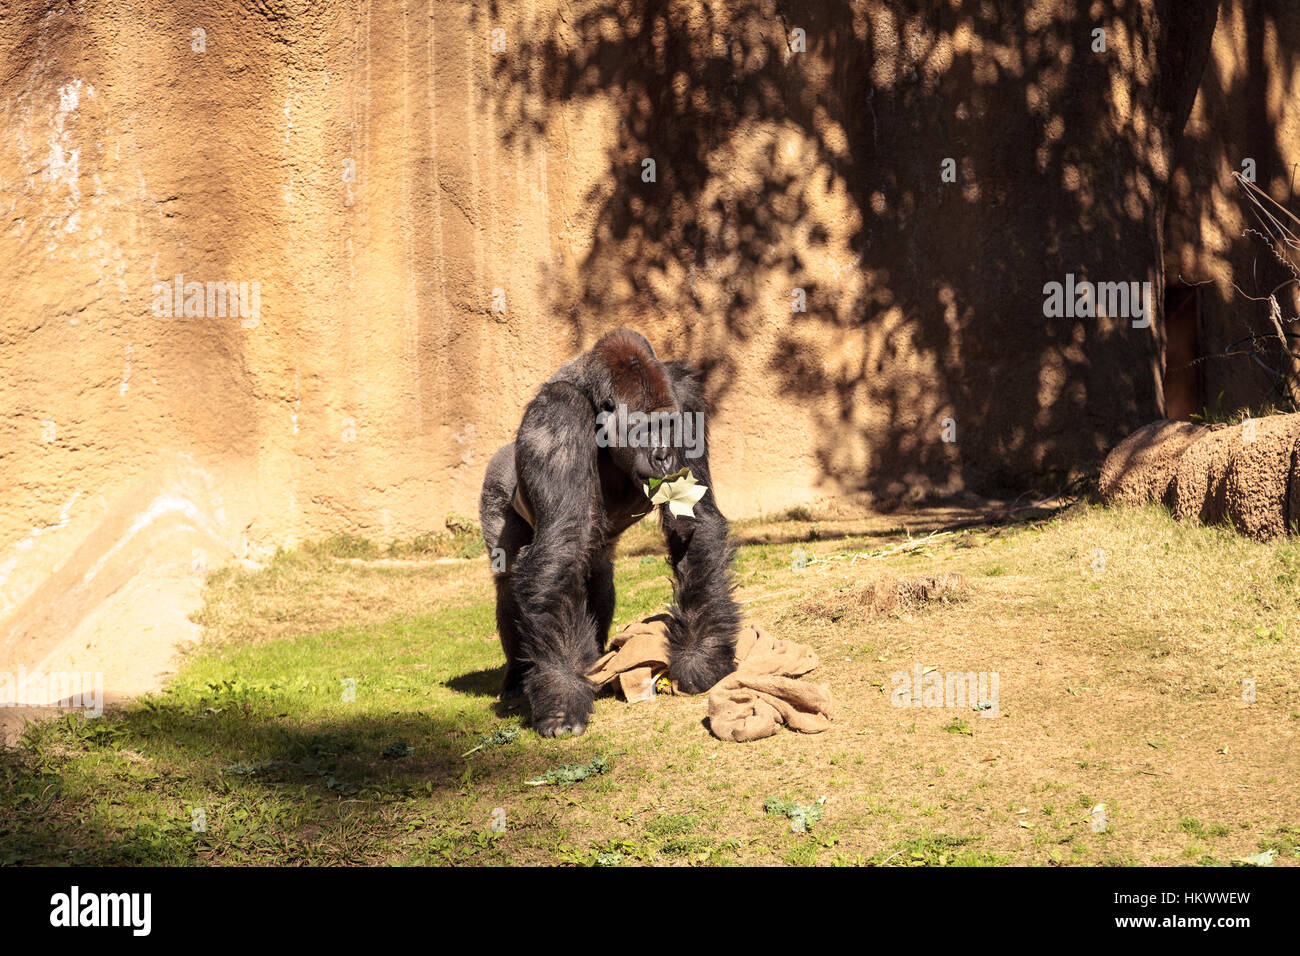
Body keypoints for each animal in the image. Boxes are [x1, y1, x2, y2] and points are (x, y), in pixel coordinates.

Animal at [479, 329, 740, 737]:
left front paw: (703, 654)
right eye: (643, 430)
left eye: (667, 426)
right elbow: (562, 543)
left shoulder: (687, 399)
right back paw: (517, 678)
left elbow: (696, 520)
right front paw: (561, 693)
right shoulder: (557, 416)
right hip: (496, 482)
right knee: (509, 576)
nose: (663, 456)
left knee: (597, 572)